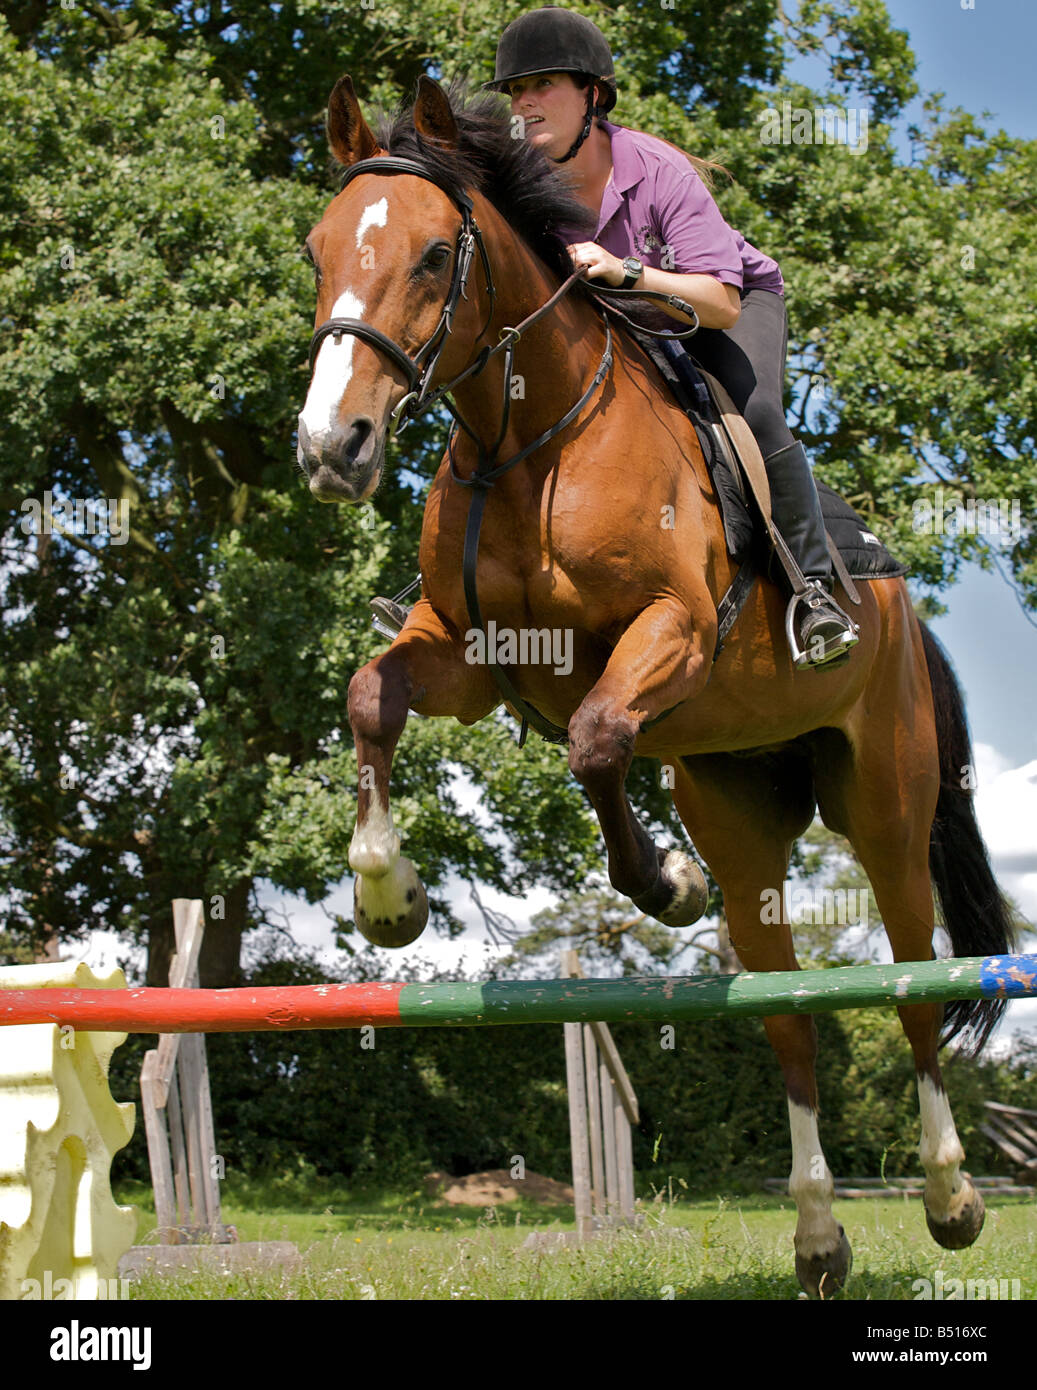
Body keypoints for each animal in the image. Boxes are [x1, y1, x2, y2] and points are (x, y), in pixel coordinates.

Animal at [295, 74, 1015, 1298]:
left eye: (436, 255)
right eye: (317, 250)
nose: (328, 449)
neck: (527, 435)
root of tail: (899, 607)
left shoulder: (669, 632)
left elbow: (594, 737)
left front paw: (660, 884)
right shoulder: (468, 657)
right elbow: (370, 698)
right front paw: (389, 899)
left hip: (882, 802)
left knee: (912, 981)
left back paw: (950, 1196)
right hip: (740, 813)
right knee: (788, 1017)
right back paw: (816, 1236)